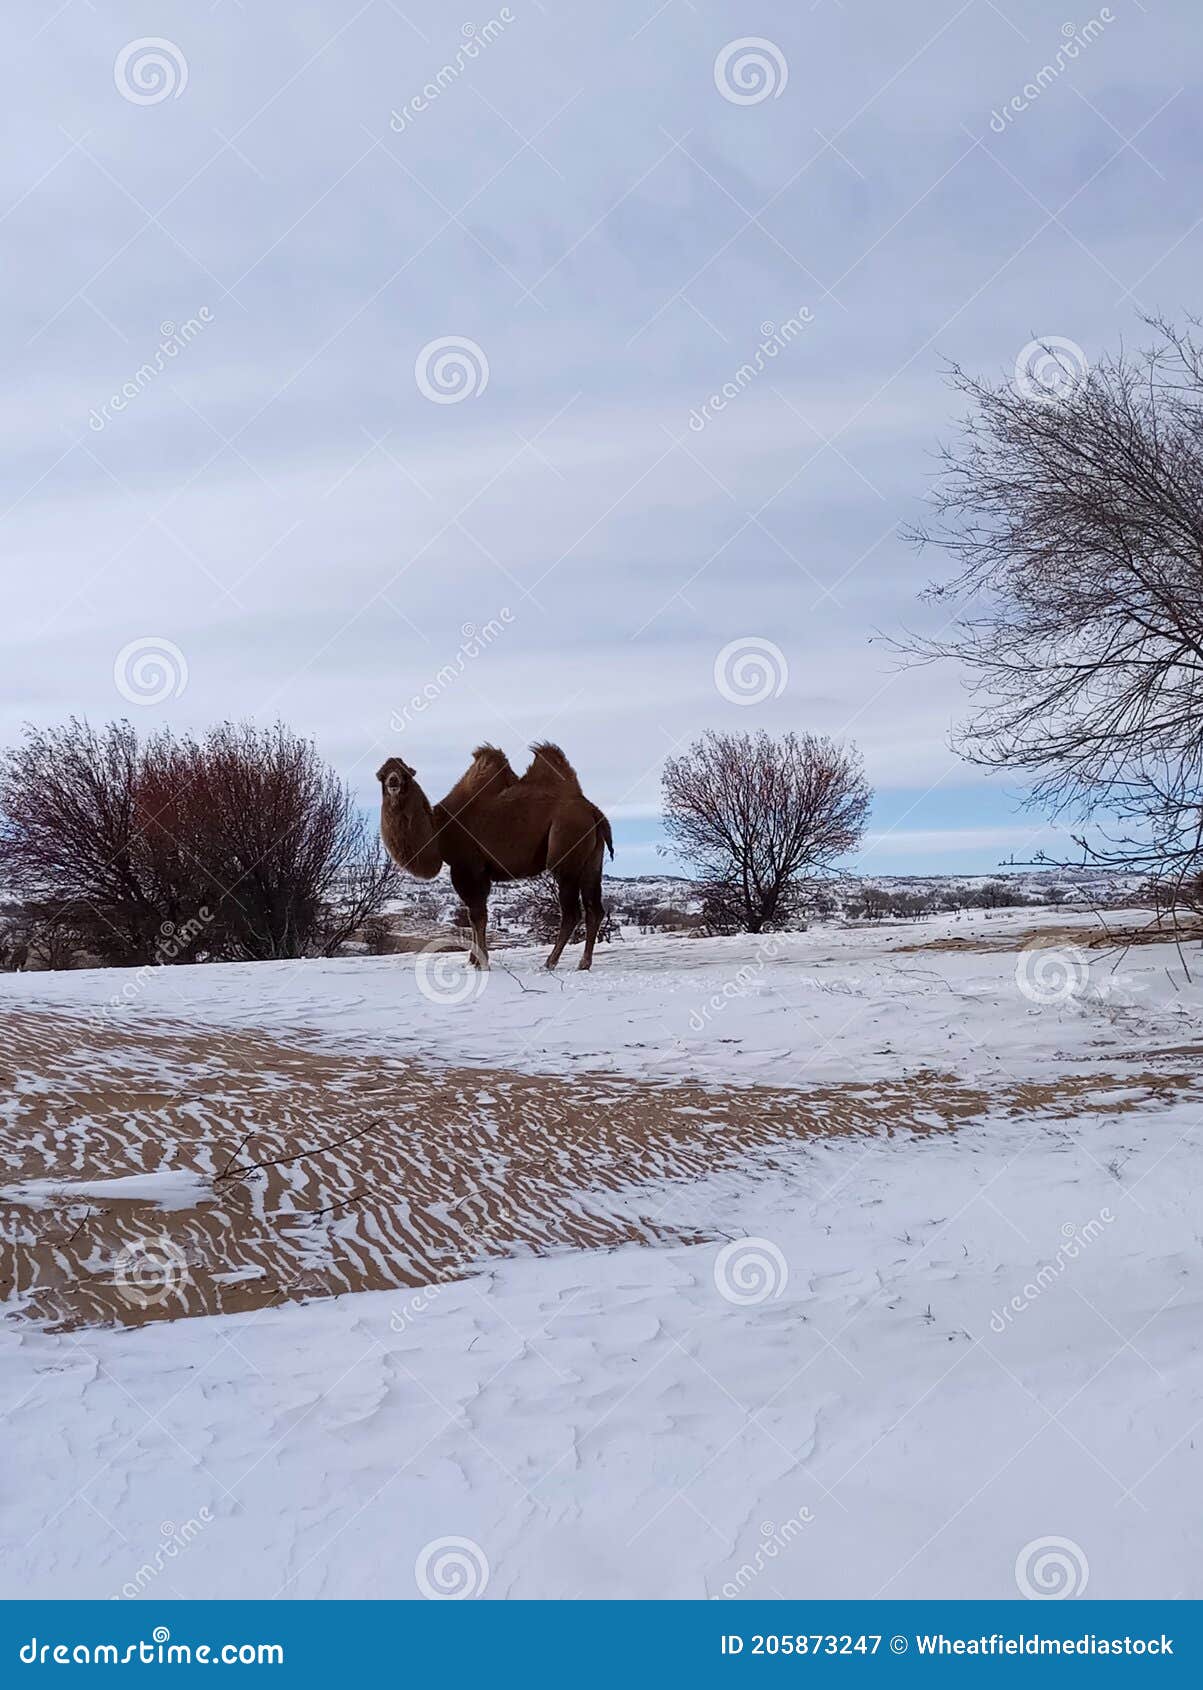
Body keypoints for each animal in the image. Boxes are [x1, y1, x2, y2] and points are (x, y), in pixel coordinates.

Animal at [377, 742, 614, 971]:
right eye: (381, 773)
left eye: (405, 773)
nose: (393, 781)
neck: (439, 829)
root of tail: (594, 812)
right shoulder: (478, 872)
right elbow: (474, 917)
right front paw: (473, 961)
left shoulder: (468, 867)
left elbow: (478, 915)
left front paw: (481, 962)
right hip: (592, 861)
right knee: (595, 909)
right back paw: (583, 963)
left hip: (565, 854)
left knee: (572, 912)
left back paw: (550, 962)